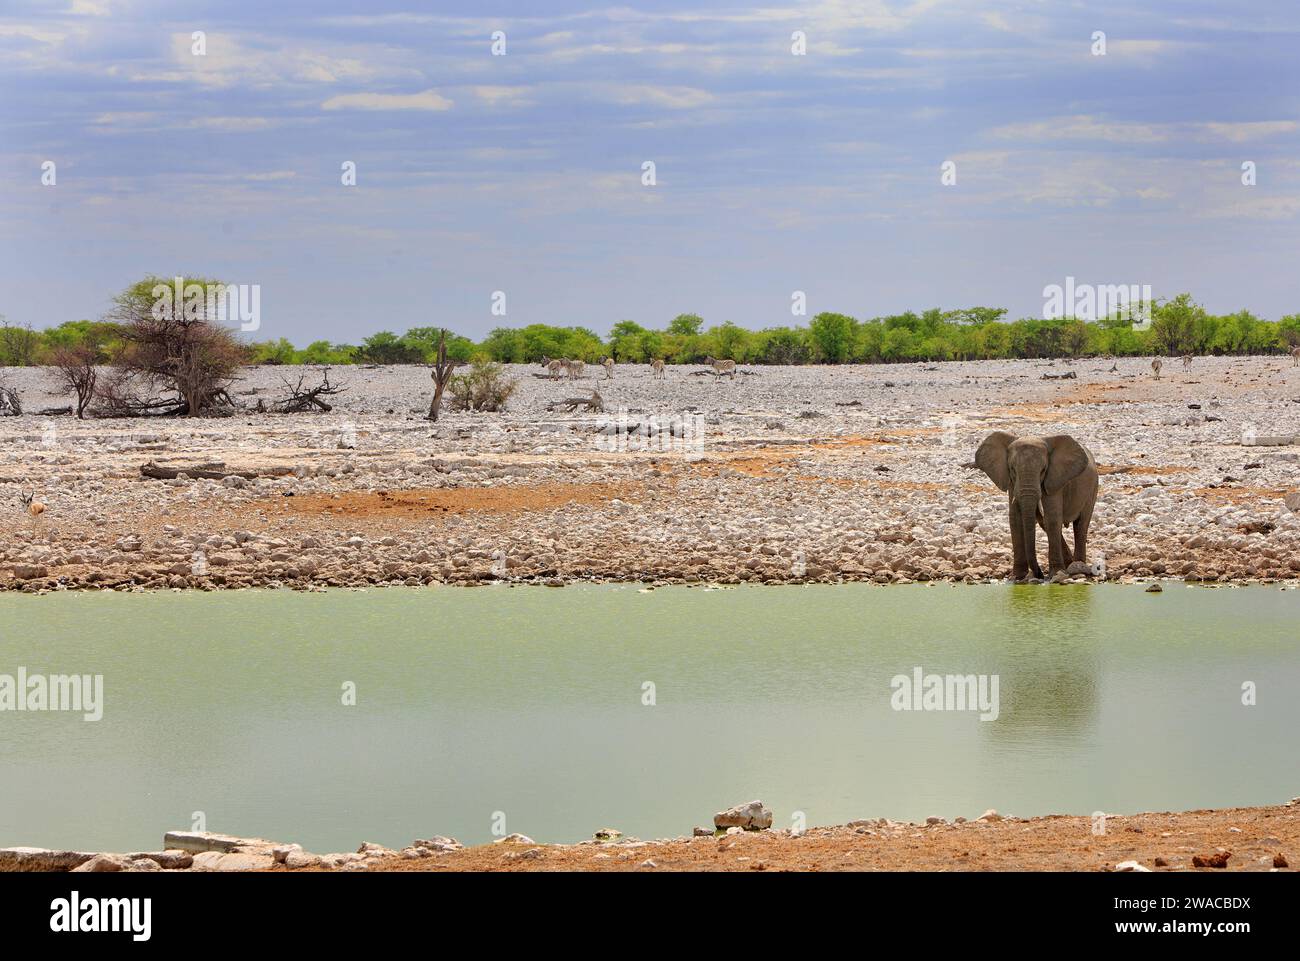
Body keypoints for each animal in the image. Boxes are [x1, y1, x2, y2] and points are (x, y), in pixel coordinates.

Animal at [975, 431, 1099, 581]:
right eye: (1012, 469)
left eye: (1043, 470)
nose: (1039, 574)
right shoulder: (1011, 482)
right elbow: (1015, 519)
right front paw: (1017, 576)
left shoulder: (1054, 479)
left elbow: (1052, 518)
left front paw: (1055, 574)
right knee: (1045, 524)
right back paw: (1069, 564)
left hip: (1093, 488)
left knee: (1080, 525)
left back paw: (1078, 566)